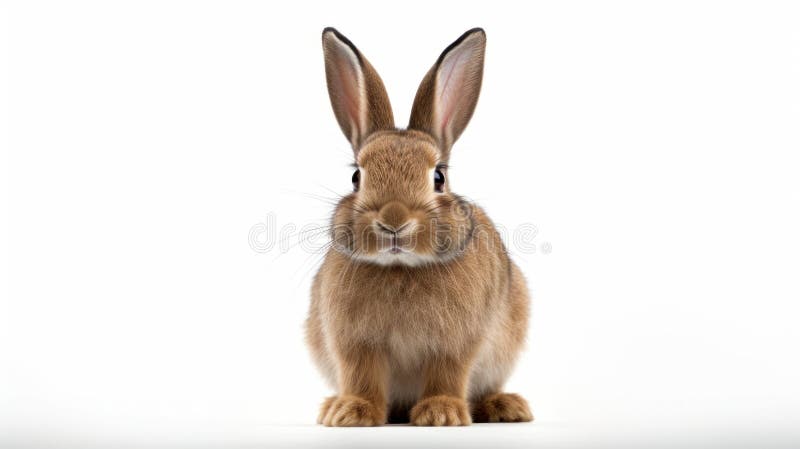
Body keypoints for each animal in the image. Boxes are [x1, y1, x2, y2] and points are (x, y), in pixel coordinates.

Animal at [305, 27, 533, 427]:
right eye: (356, 177)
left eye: (439, 177)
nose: (394, 222)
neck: (401, 268)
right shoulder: (355, 343)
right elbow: (361, 376)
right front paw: (351, 412)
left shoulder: (456, 342)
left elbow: (447, 373)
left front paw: (441, 413)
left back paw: (506, 406)